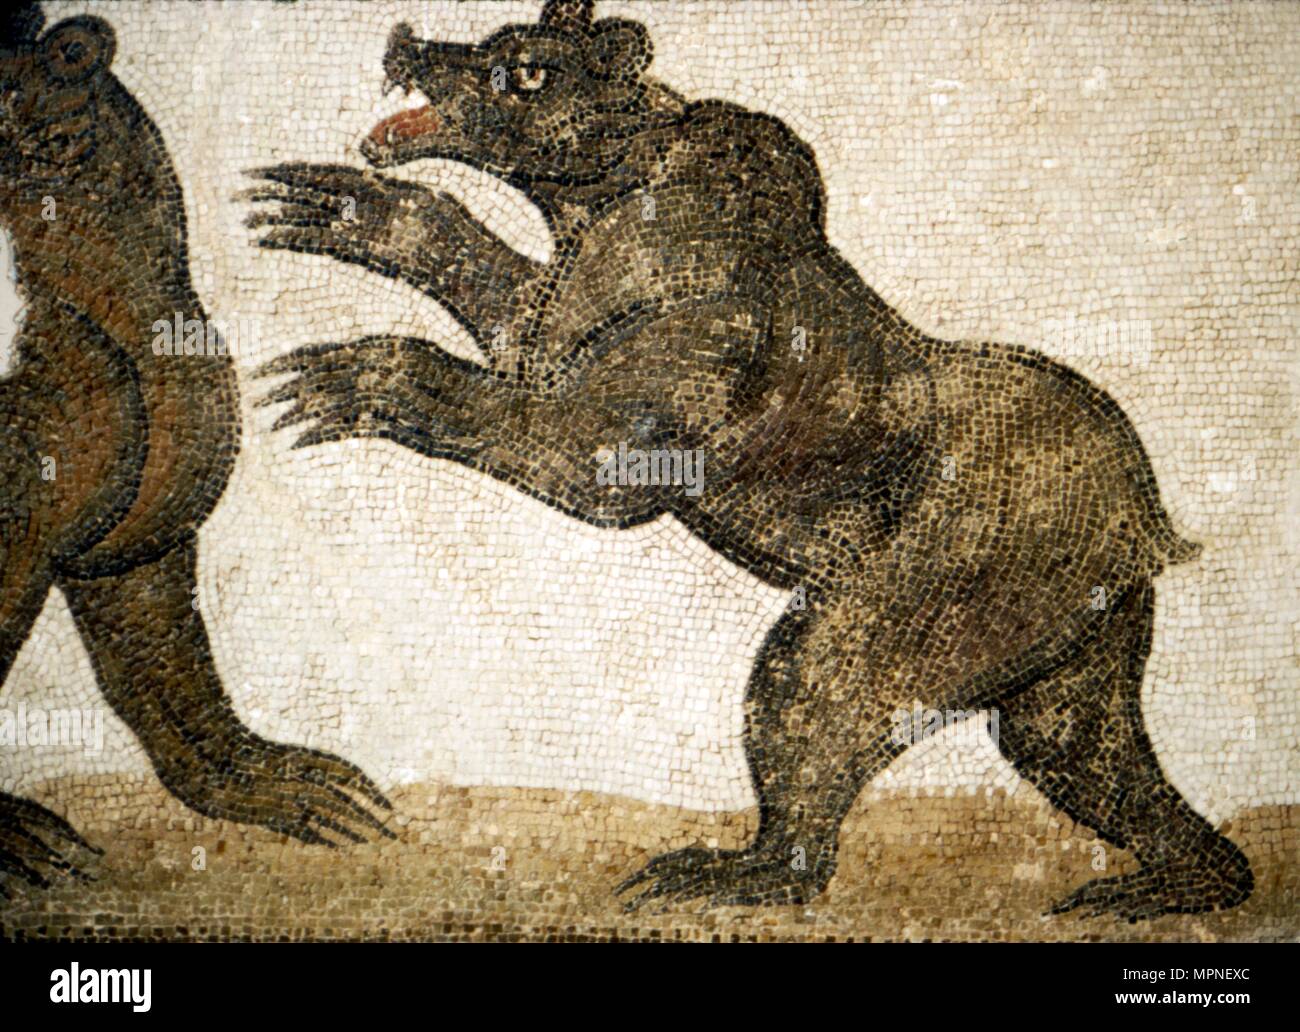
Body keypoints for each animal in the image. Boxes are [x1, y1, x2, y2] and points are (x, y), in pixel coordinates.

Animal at [246, 0, 1251, 919]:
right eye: (492, 40)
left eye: (526, 71)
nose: (405, 41)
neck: (598, 200)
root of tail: (1148, 515)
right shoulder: (569, 311)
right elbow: (511, 305)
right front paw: (339, 208)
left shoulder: (689, 351)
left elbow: (580, 457)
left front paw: (342, 376)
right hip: (1070, 626)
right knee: (1080, 744)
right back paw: (1170, 881)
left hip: (961, 565)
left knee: (815, 689)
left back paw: (725, 871)